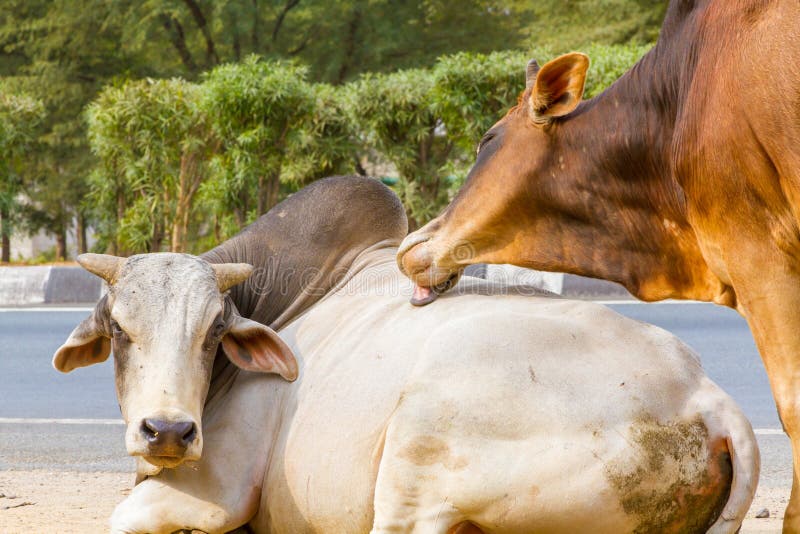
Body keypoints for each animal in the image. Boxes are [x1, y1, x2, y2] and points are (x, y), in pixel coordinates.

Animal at [54, 177, 758, 533]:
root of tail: (706, 396)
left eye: (211, 333)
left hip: (415, 464)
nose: (168, 431)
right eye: (120, 330)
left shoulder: (216, 491)